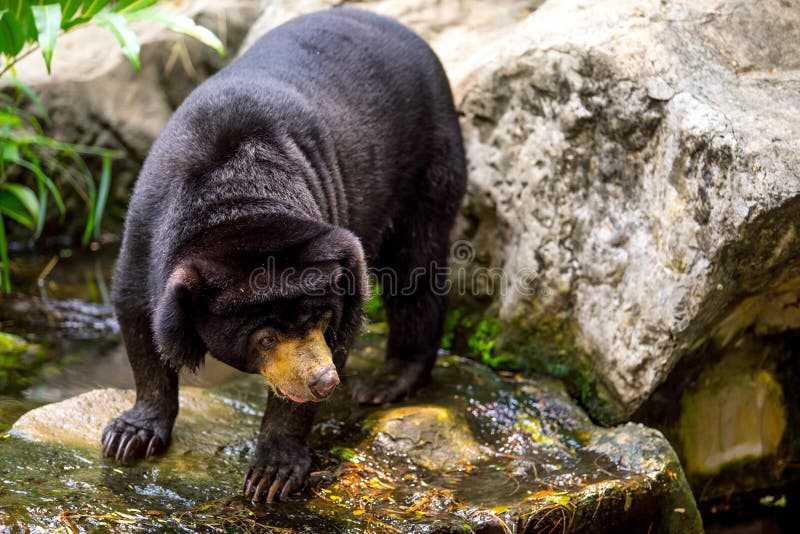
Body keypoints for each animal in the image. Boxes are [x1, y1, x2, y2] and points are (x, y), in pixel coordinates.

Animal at [101, 7, 466, 504]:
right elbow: (138, 315)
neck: (237, 197)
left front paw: (272, 473)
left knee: (417, 265)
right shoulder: (145, 227)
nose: (323, 382)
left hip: (431, 160)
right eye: (265, 338)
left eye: (321, 316)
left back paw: (386, 383)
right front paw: (130, 435)